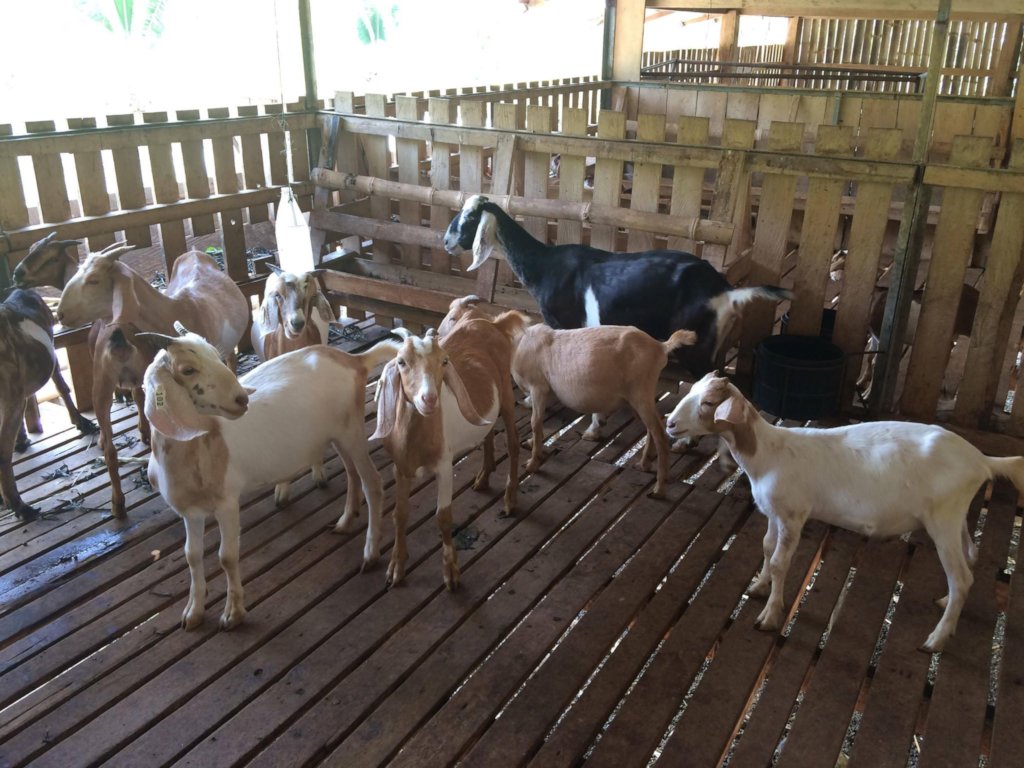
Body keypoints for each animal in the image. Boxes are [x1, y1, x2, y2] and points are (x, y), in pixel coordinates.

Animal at [141, 325, 400, 630]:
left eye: (217, 355)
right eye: (188, 369)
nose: (242, 399)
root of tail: (355, 361)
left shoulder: (227, 502)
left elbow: (226, 557)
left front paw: (233, 614)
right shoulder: (190, 512)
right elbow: (191, 556)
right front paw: (193, 613)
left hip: (352, 432)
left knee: (373, 483)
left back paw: (370, 554)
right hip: (338, 434)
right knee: (351, 472)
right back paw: (346, 522)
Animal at [371, 311, 524, 590]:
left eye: (444, 361)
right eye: (401, 362)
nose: (429, 399)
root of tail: (494, 324)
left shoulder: (443, 466)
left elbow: (443, 517)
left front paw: (451, 572)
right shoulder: (400, 468)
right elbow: (400, 514)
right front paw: (396, 568)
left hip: (507, 395)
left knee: (514, 443)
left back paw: (509, 500)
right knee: (487, 431)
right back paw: (483, 478)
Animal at [443, 195, 790, 440]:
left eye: (469, 218)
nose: (446, 242)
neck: (544, 265)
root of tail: (726, 291)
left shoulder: (563, 325)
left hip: (697, 347)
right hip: (714, 344)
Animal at [511, 323, 696, 497]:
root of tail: (660, 346)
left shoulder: (538, 387)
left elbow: (535, 423)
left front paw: (532, 463)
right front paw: (530, 444)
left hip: (640, 392)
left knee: (660, 434)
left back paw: (659, 489)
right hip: (642, 394)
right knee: (655, 424)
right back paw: (644, 464)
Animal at [665, 371, 1024, 652]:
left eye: (708, 403)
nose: (670, 424)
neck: (767, 453)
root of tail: (982, 460)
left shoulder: (793, 514)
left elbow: (781, 562)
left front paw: (769, 614)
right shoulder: (773, 513)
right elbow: (766, 548)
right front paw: (759, 586)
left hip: (943, 519)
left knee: (961, 577)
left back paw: (936, 638)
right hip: (955, 514)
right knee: (970, 556)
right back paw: (945, 603)